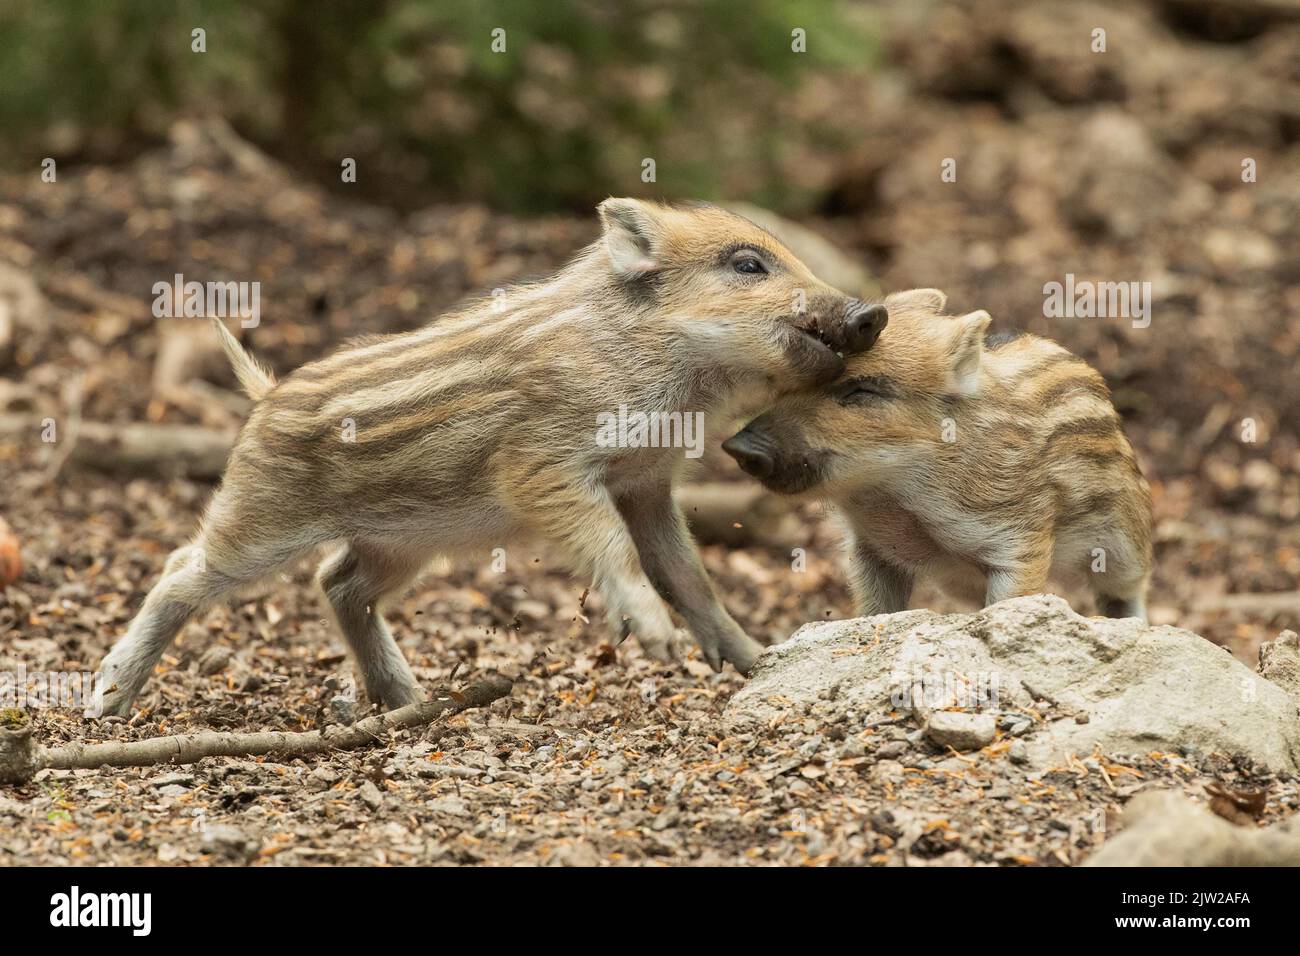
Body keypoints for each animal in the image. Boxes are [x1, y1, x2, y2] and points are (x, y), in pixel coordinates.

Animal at [94, 199, 888, 716]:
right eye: (748, 264)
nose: (870, 313)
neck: (663, 367)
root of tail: (265, 395)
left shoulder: (645, 483)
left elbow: (687, 575)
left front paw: (754, 661)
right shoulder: (544, 467)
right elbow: (616, 550)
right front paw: (658, 644)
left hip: (399, 541)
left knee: (338, 583)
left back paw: (407, 701)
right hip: (261, 515)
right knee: (183, 570)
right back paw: (106, 702)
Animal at [723, 287, 1152, 621]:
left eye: (862, 390)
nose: (738, 446)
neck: (893, 495)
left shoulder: (1019, 539)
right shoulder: (871, 549)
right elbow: (875, 611)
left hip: (1125, 538)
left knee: (1125, 589)